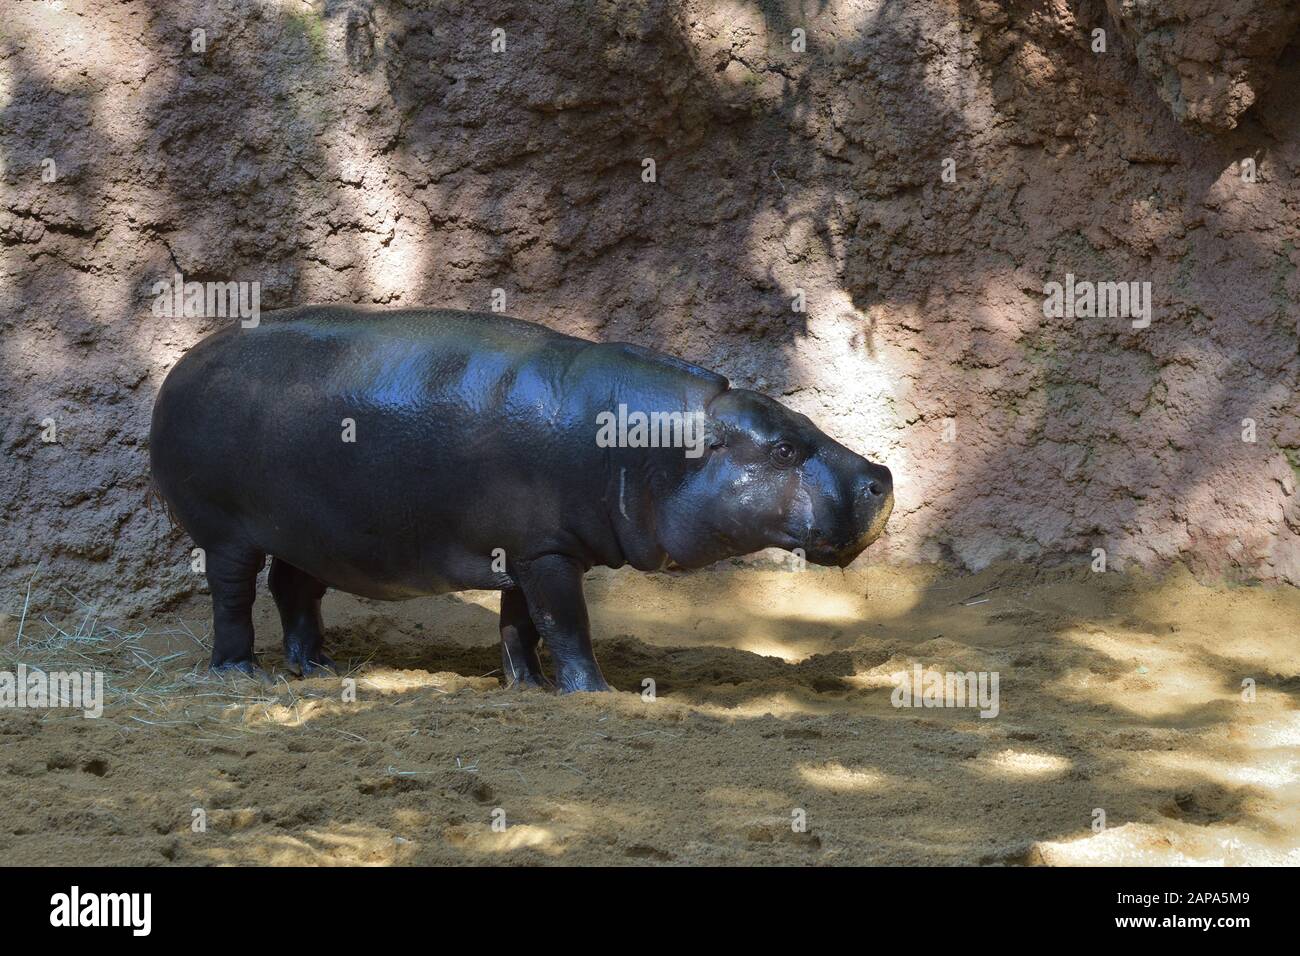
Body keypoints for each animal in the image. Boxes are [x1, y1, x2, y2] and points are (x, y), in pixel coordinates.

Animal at [149, 307, 893, 692]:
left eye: (801, 423)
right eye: (783, 450)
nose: (882, 477)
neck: (652, 447)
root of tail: (182, 363)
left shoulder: (530, 551)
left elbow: (521, 626)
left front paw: (526, 688)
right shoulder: (547, 555)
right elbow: (567, 624)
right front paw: (596, 692)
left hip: (311, 532)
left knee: (296, 590)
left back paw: (318, 667)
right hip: (228, 534)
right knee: (233, 597)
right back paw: (243, 675)